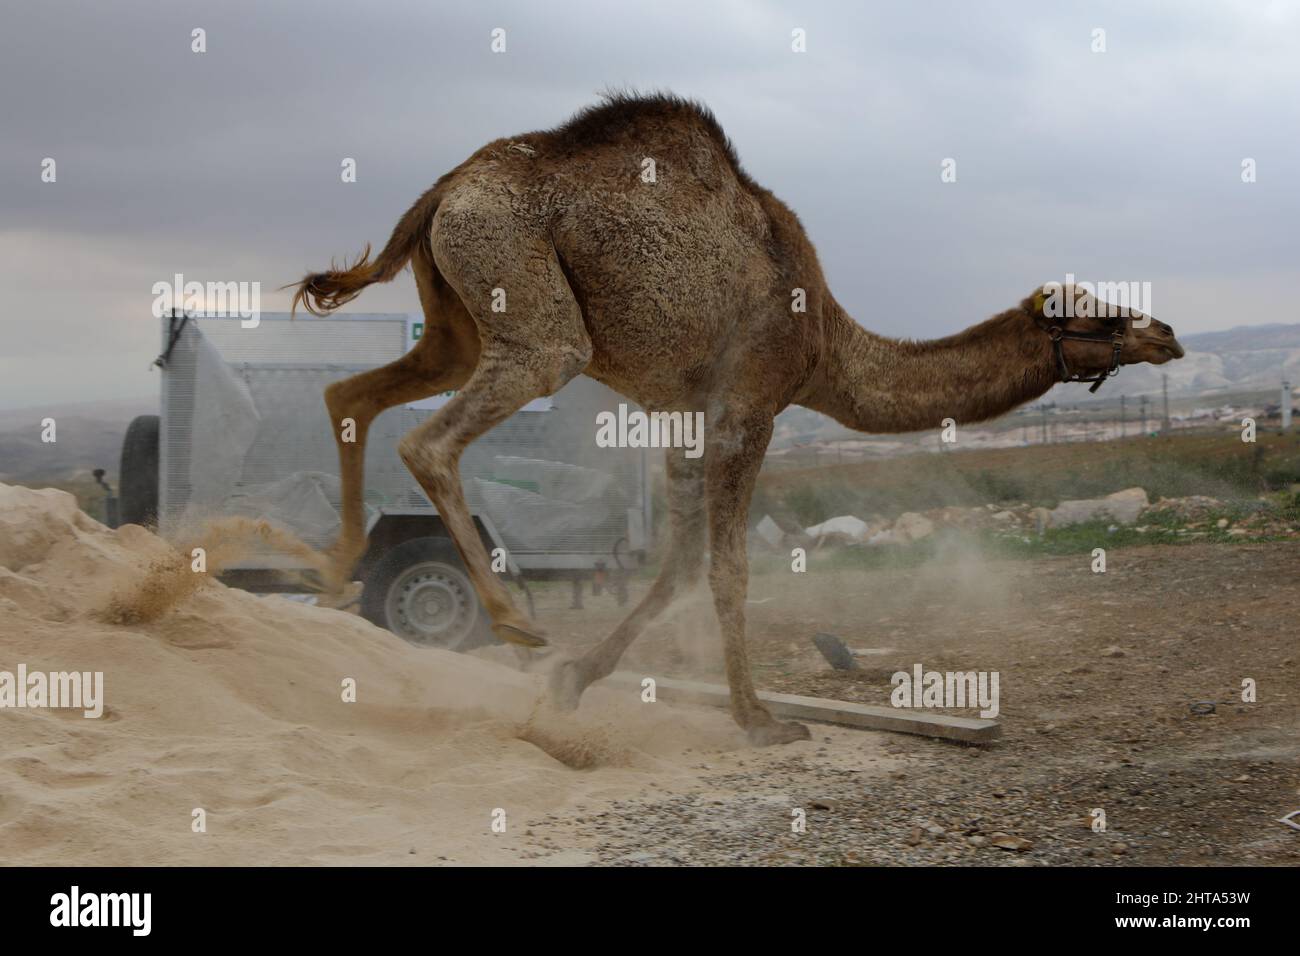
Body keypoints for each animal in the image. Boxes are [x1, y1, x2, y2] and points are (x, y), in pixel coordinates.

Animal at [291, 93, 1184, 746]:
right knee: (431, 436)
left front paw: (577, 681)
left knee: (351, 396)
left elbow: (680, 560)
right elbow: (729, 568)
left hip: (456, 322)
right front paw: (759, 719)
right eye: (1101, 317)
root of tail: (444, 189)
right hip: (525, 296)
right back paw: (509, 621)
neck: (826, 343)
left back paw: (332, 573)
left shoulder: (688, 414)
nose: (1168, 334)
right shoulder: (749, 403)